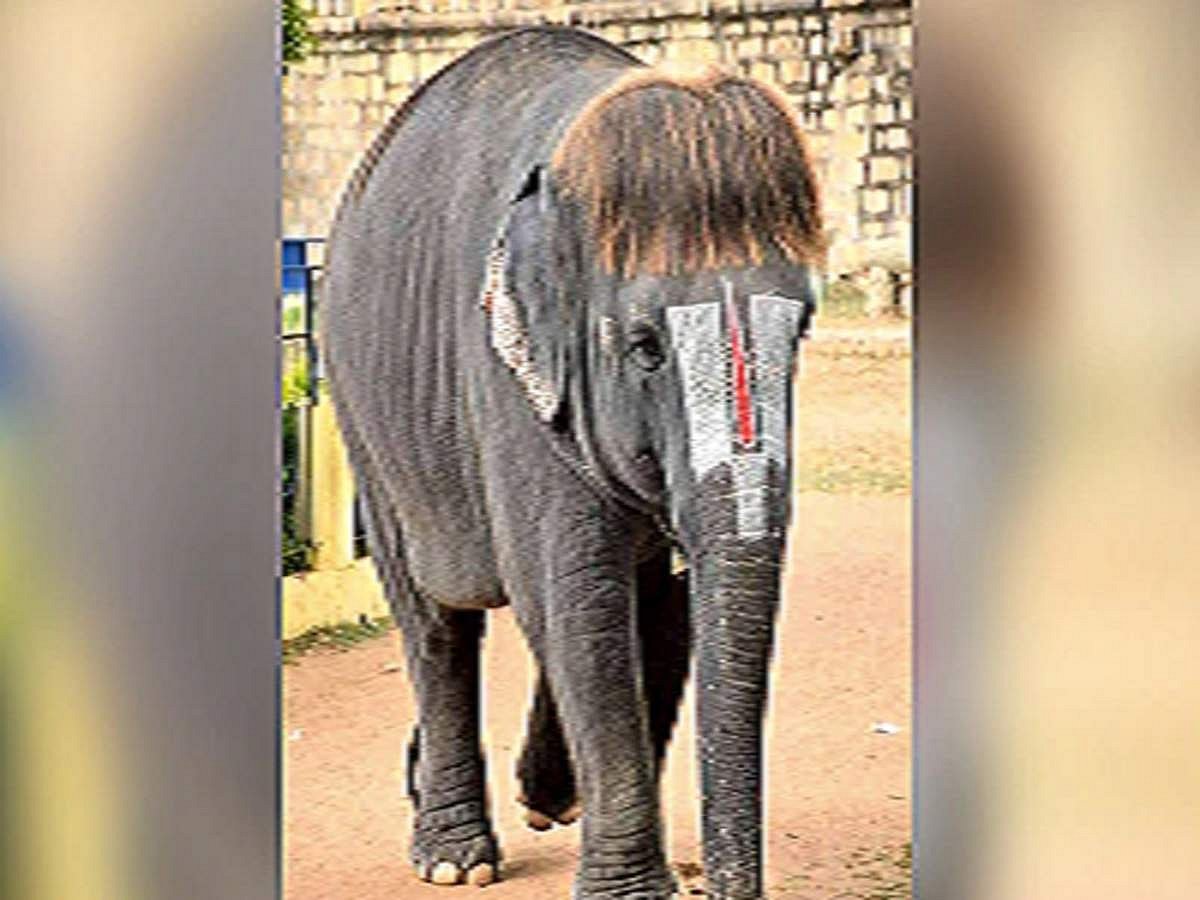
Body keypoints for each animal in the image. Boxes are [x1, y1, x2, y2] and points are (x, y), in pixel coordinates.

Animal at [322, 26, 824, 900]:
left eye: (801, 332)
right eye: (645, 347)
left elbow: (659, 603)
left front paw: (562, 802)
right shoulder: (504, 377)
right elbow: (578, 594)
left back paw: (541, 797)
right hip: (361, 411)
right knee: (432, 619)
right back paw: (454, 858)